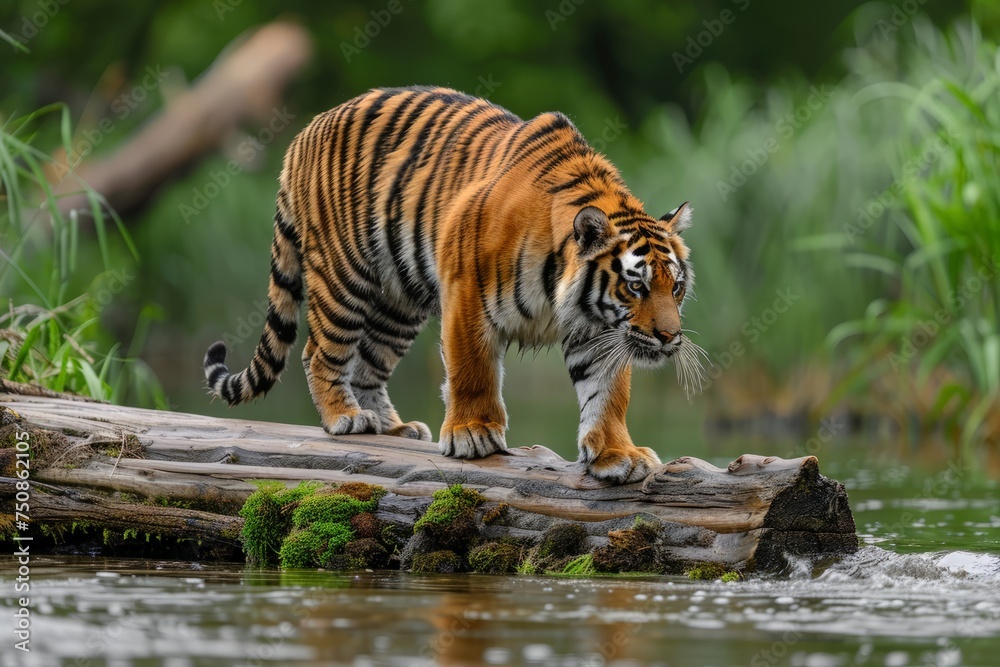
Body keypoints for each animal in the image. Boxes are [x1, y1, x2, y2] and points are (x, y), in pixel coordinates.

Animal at [203, 86, 705, 484]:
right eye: (636, 287)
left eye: (676, 288)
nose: (669, 337)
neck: (562, 289)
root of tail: (304, 133)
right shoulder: (468, 294)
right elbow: (472, 369)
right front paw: (474, 434)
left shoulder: (600, 330)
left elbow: (607, 394)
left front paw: (618, 455)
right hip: (344, 276)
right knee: (318, 352)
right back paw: (345, 417)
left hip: (399, 303)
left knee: (368, 363)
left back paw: (392, 427)